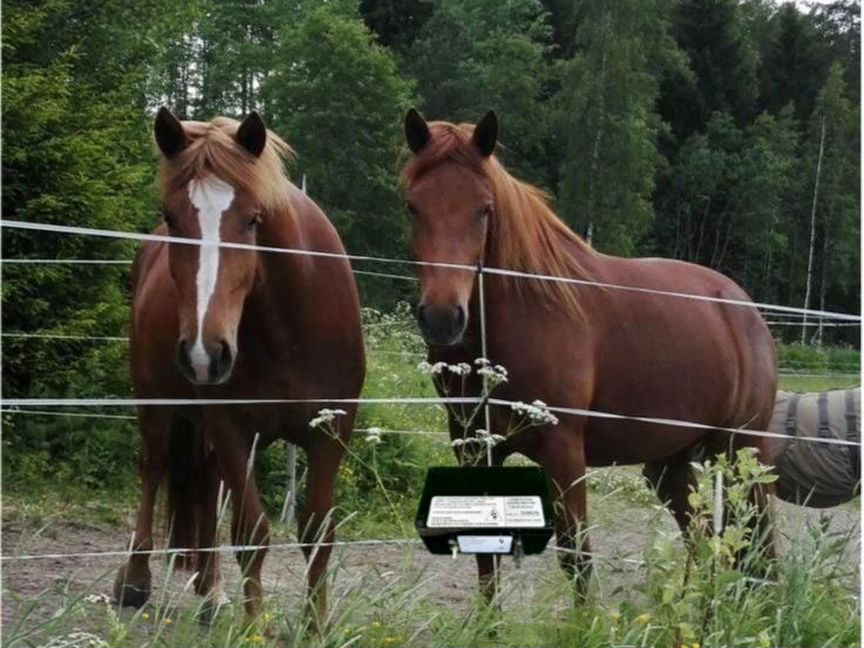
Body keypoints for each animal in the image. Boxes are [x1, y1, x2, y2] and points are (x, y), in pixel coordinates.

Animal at [112, 107, 364, 624]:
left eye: (252, 220)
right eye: (172, 215)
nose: (204, 353)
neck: (287, 328)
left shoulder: (331, 431)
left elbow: (317, 532)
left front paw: (316, 626)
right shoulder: (230, 426)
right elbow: (251, 533)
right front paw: (251, 628)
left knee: (205, 482)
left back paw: (211, 592)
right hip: (154, 401)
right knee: (153, 465)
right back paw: (136, 579)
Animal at [402, 109, 780, 600]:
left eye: (484, 209)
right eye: (413, 206)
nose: (444, 318)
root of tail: (743, 308)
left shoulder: (564, 451)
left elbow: (575, 556)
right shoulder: (473, 448)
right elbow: (485, 558)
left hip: (742, 453)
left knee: (762, 548)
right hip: (670, 462)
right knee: (704, 539)